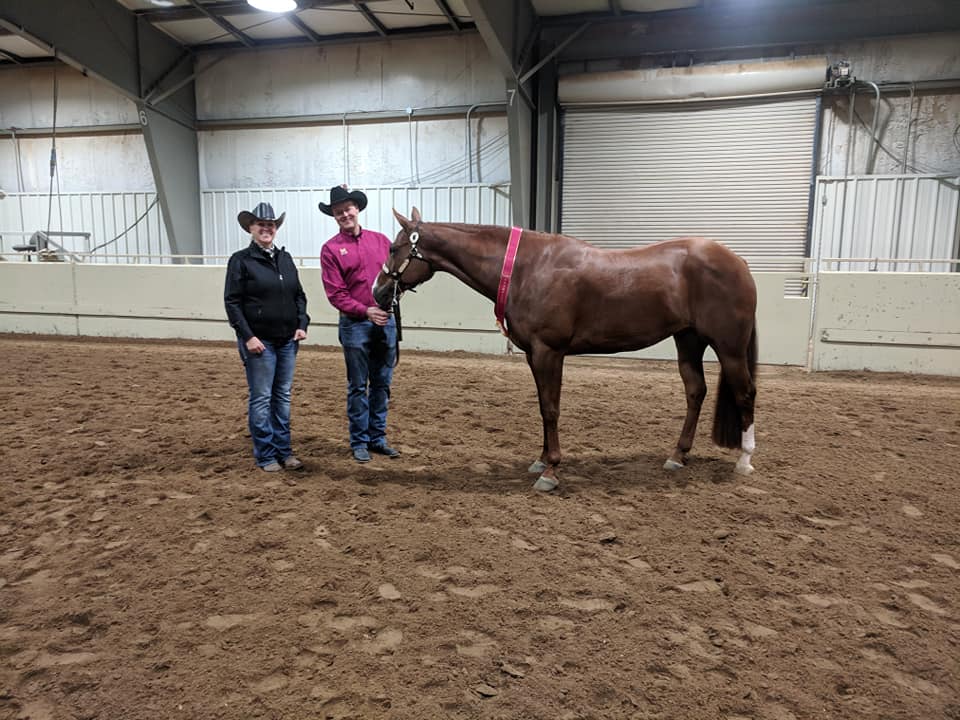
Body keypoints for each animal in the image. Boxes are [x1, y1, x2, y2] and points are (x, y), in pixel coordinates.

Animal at [373, 208, 758, 492]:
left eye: (393, 248)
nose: (378, 292)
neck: (526, 267)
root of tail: (738, 261)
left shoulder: (549, 351)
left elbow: (551, 409)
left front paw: (551, 472)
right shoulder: (534, 354)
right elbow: (543, 407)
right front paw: (542, 460)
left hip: (729, 347)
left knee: (745, 393)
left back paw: (744, 460)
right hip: (688, 340)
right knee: (696, 391)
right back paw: (678, 456)